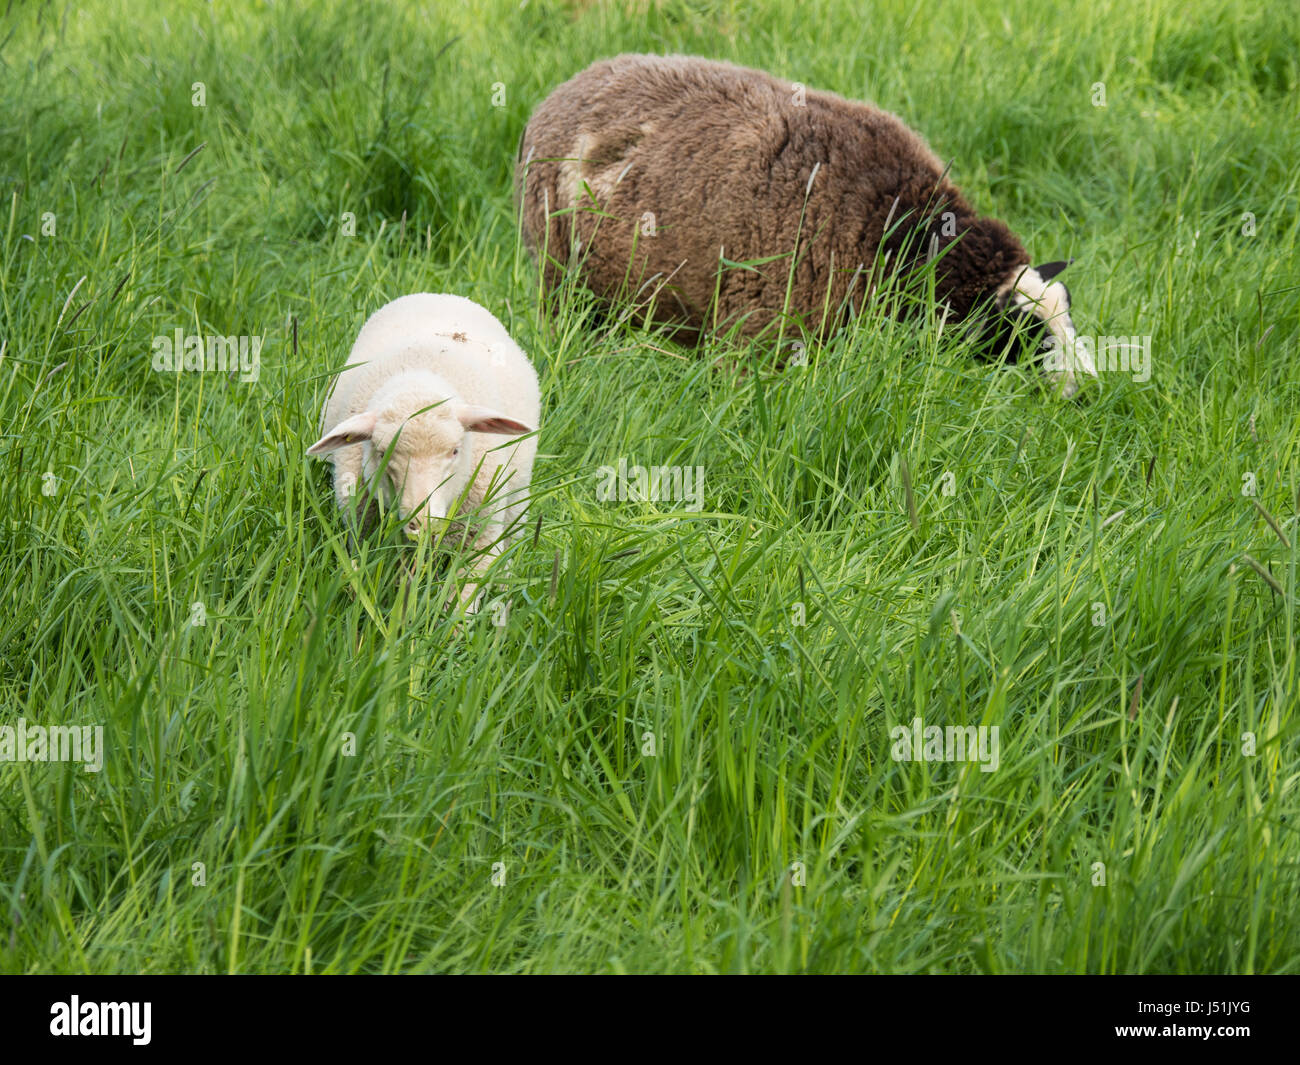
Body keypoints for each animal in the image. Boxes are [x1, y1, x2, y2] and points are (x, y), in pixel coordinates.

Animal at [307, 294, 540, 612]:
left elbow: (462, 602)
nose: (423, 523)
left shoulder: (480, 540)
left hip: (515, 497)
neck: (420, 376)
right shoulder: (368, 534)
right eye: (382, 453)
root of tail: (440, 295)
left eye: (455, 451)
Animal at [517, 54, 1096, 396]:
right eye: (1023, 331)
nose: (1087, 389)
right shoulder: (756, 333)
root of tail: (572, 83)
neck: (892, 232)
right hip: (560, 280)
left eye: (1069, 309)